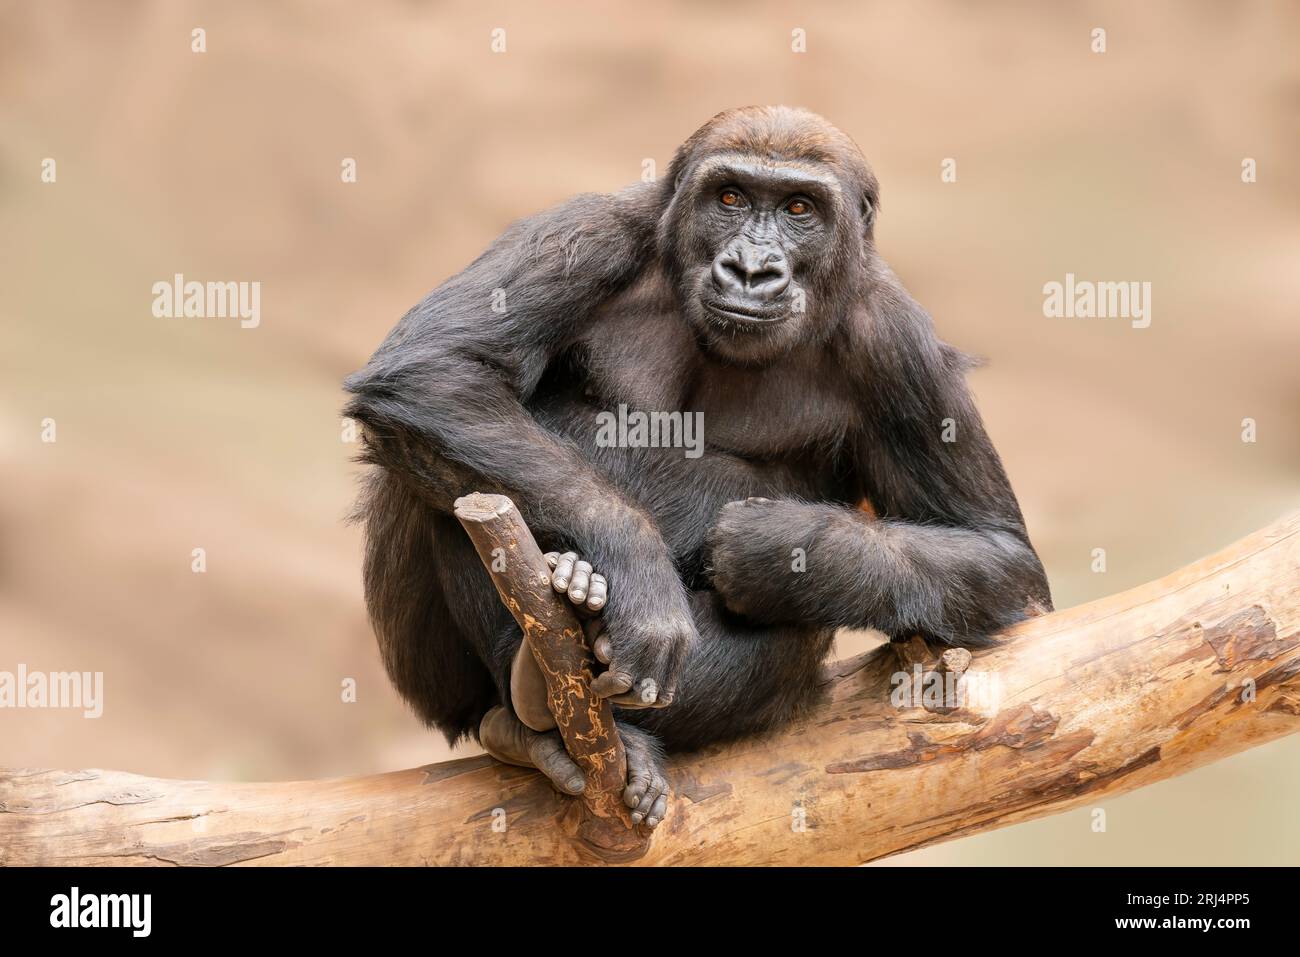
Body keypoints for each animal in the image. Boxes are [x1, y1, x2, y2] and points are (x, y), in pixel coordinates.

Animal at [343, 106, 1052, 829]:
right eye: (730, 197)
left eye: (800, 208)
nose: (751, 268)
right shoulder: (590, 229)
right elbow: (440, 372)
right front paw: (640, 570)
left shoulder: (898, 342)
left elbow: (997, 553)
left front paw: (774, 546)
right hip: (438, 687)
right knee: (443, 472)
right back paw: (531, 705)